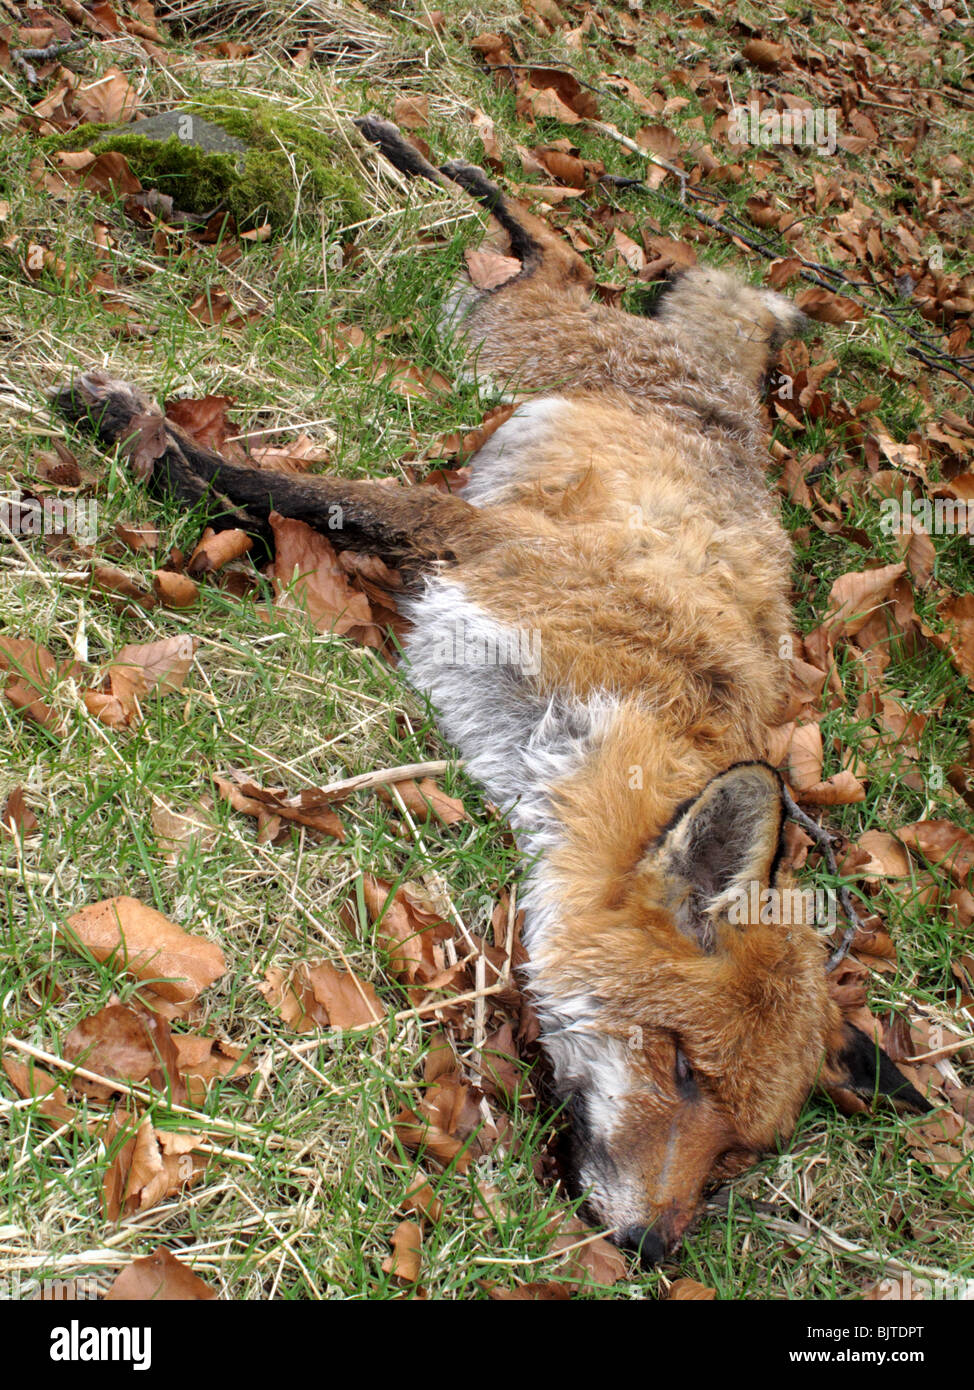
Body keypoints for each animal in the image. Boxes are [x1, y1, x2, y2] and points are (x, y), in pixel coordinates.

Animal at [54, 115, 931, 1268]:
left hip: (498, 332)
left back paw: (426, 165)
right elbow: (290, 487)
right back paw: (421, 156)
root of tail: (729, 407)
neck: (618, 711)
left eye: (737, 1150)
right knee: (546, 244)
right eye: (680, 1063)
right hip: (505, 342)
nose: (651, 1248)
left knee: (545, 254)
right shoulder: (482, 539)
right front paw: (140, 430)